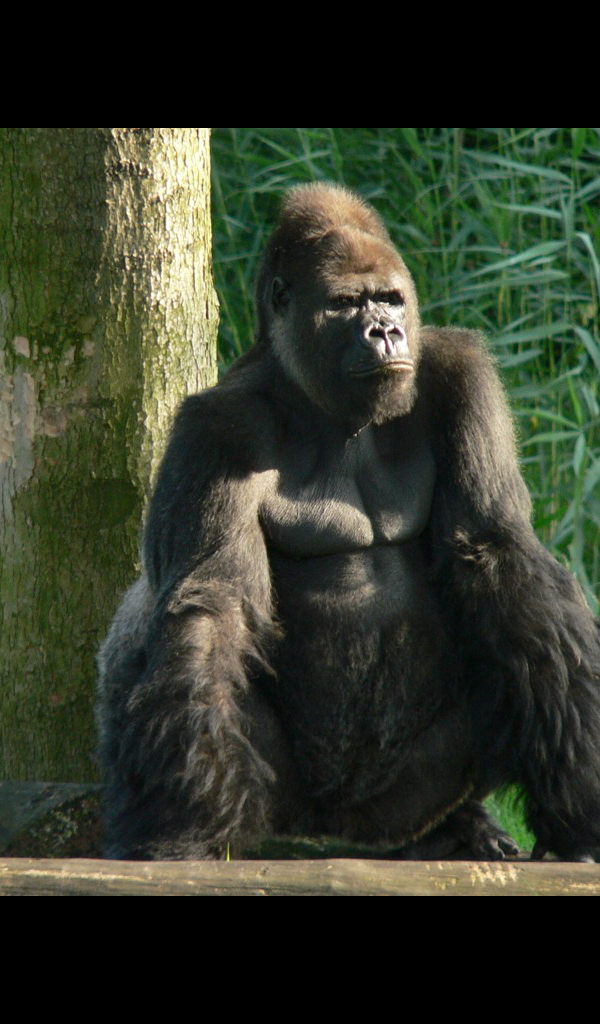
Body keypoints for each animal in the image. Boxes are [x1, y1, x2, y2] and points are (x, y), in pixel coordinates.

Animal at [97, 182, 600, 861]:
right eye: (344, 304)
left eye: (388, 299)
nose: (386, 333)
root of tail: (349, 835)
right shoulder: (216, 427)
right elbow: (212, 604)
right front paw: (180, 826)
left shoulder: (459, 374)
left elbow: (499, 559)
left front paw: (580, 803)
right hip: (292, 814)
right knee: (147, 617)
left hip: (409, 801)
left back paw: (456, 827)